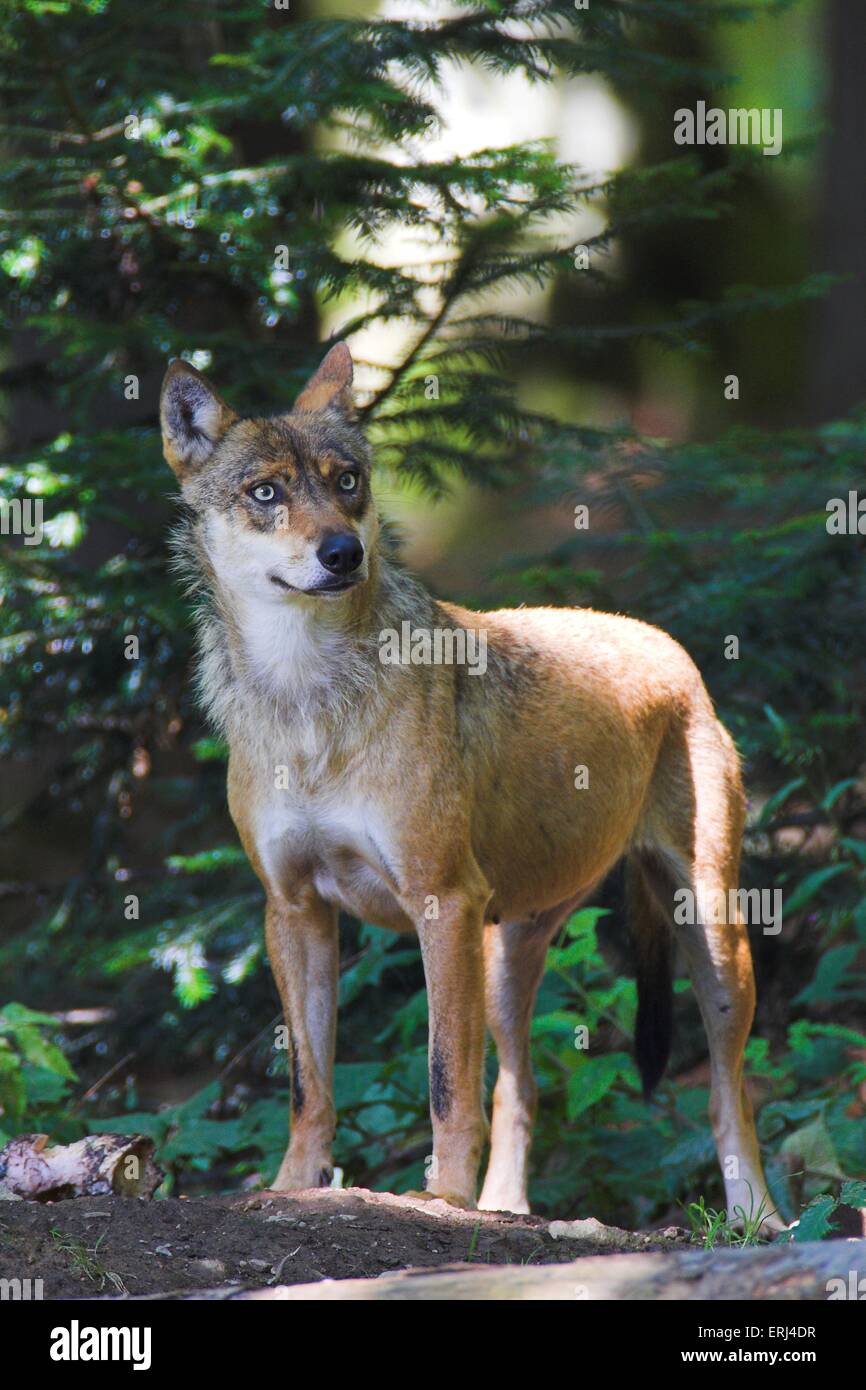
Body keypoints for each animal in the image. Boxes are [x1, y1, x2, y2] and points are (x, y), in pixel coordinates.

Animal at [160, 341, 782, 1228]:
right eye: (266, 493)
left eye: (347, 480)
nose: (342, 553)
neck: (311, 698)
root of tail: (668, 646)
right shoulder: (294, 912)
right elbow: (309, 1086)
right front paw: (289, 1187)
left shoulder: (440, 903)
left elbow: (445, 1079)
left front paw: (440, 1197)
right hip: (507, 957)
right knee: (522, 1089)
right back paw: (505, 1212)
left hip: (710, 938)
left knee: (729, 1097)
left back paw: (756, 1218)